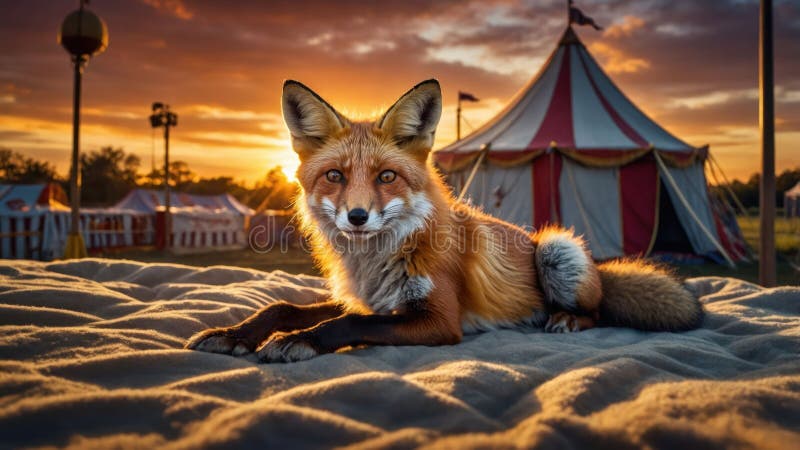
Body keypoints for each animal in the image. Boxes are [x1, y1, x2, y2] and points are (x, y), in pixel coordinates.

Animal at [185, 79, 703, 363]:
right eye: (335, 176)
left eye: (387, 176)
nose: (357, 217)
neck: (377, 260)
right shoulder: (371, 299)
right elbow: (282, 308)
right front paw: (236, 334)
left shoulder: (439, 321)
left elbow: (347, 324)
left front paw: (298, 342)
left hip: (557, 248)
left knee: (597, 312)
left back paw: (567, 319)